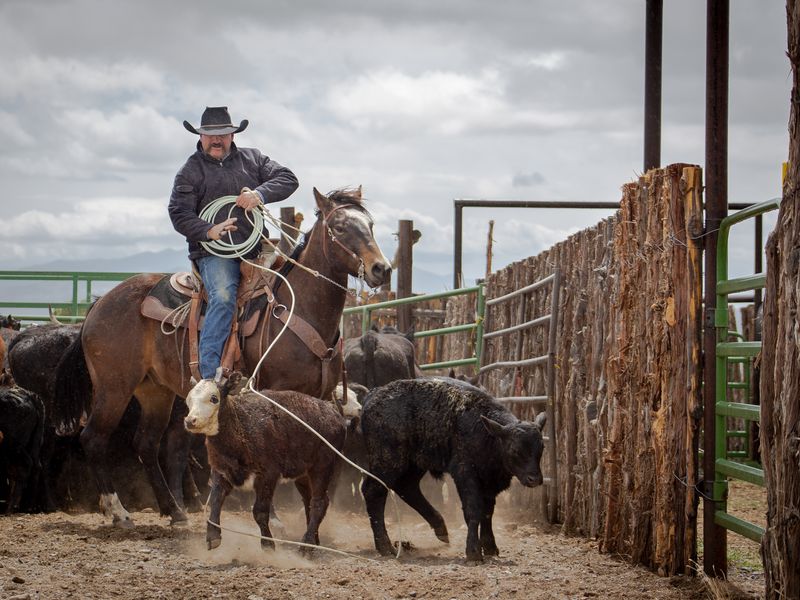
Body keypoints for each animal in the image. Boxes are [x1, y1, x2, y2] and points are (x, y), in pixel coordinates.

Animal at [184, 371, 346, 554]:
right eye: (188, 399)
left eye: (213, 398)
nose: (190, 421)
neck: (240, 424)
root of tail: (335, 414)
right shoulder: (221, 471)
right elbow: (216, 501)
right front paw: (213, 536)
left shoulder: (267, 475)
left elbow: (260, 511)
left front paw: (268, 544)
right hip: (304, 475)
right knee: (308, 501)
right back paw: (313, 540)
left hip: (323, 467)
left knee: (319, 502)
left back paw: (307, 545)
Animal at [360, 378, 547, 561]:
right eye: (515, 450)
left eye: (542, 447)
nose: (535, 479)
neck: (487, 433)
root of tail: (372, 397)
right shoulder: (465, 474)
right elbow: (473, 510)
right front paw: (473, 551)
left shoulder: (489, 482)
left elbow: (487, 513)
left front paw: (490, 547)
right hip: (388, 462)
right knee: (374, 491)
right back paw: (385, 547)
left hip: (414, 464)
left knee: (407, 488)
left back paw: (440, 529)